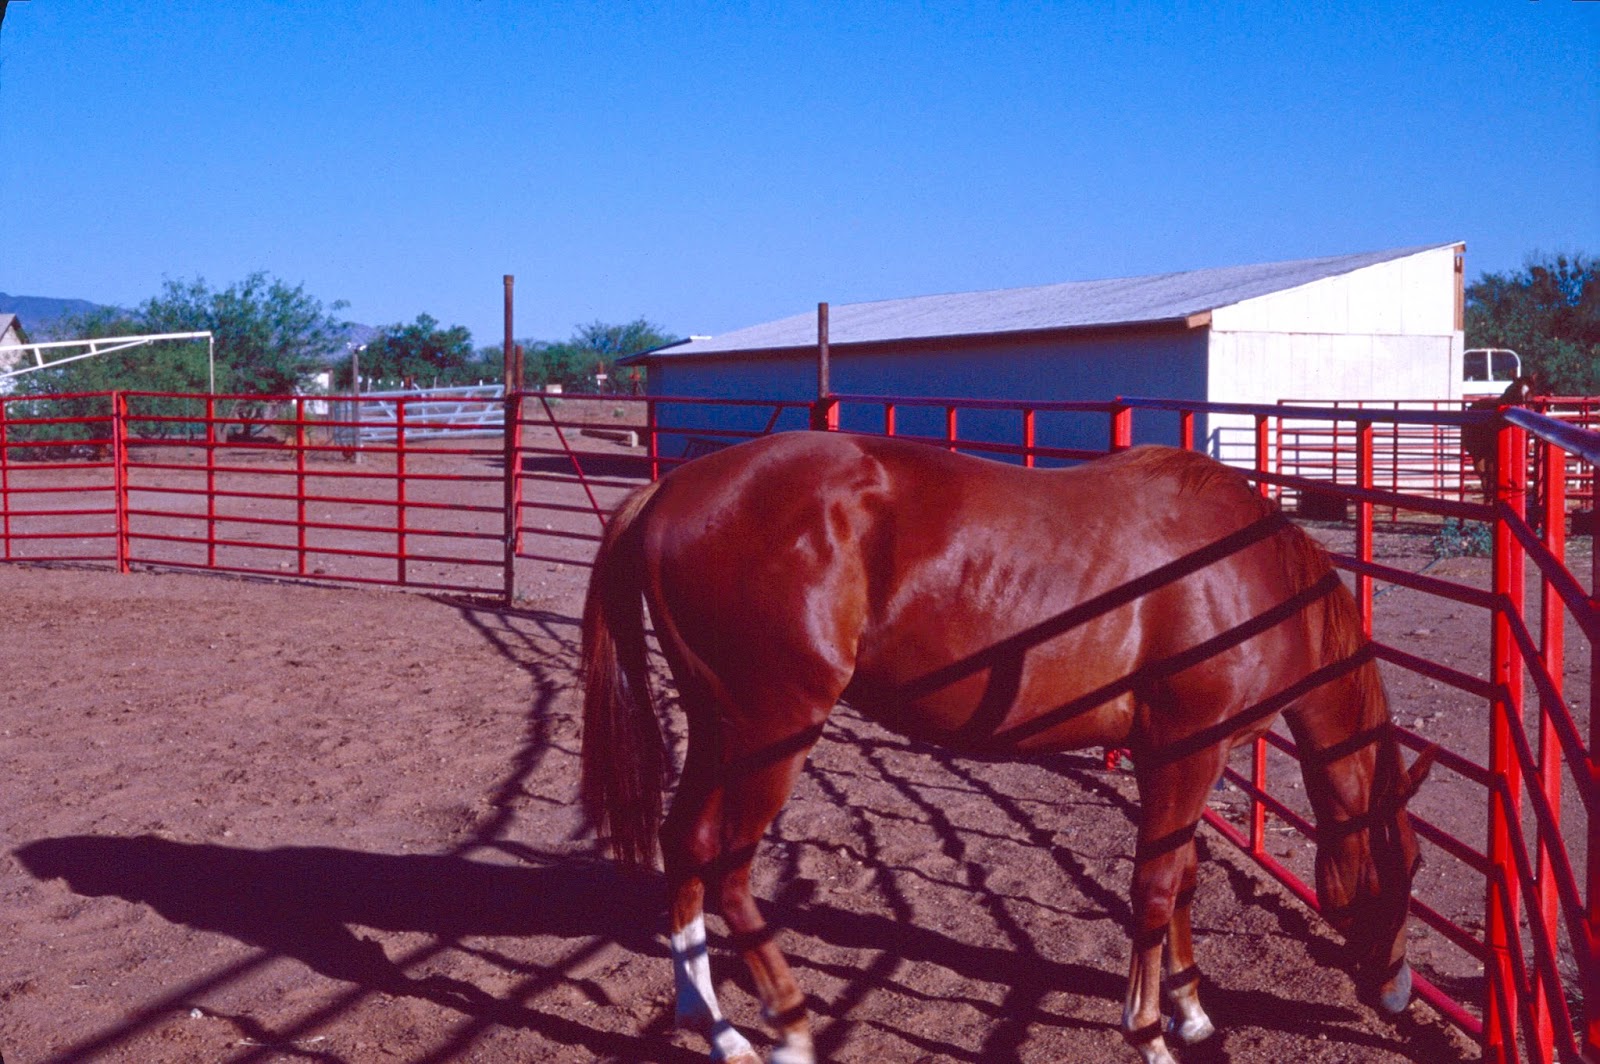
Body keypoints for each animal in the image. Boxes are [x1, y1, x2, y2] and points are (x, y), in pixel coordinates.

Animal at [580, 431, 1433, 1064]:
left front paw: (1190, 1011)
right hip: (771, 733)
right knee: (729, 871)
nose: (1397, 994)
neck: (1242, 579)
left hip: (717, 728)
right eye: (1407, 867)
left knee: (685, 845)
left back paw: (715, 1026)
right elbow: (1156, 888)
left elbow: (1183, 879)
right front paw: (1150, 1032)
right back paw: (787, 1025)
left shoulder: (1180, 759)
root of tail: (672, 489)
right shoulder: (1187, 755)